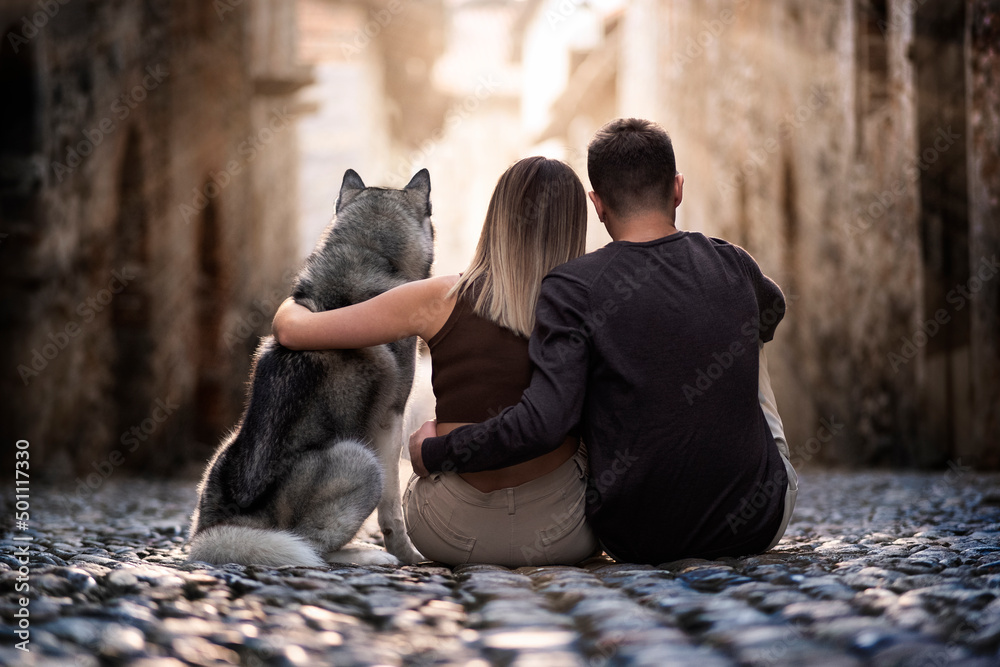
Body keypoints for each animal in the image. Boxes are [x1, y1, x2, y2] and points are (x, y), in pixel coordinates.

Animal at [187, 169, 433, 567]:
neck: (366, 254)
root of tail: (220, 528)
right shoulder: (391, 422)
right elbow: (393, 511)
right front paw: (410, 555)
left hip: (223, 450)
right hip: (361, 461)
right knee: (312, 548)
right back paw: (367, 555)